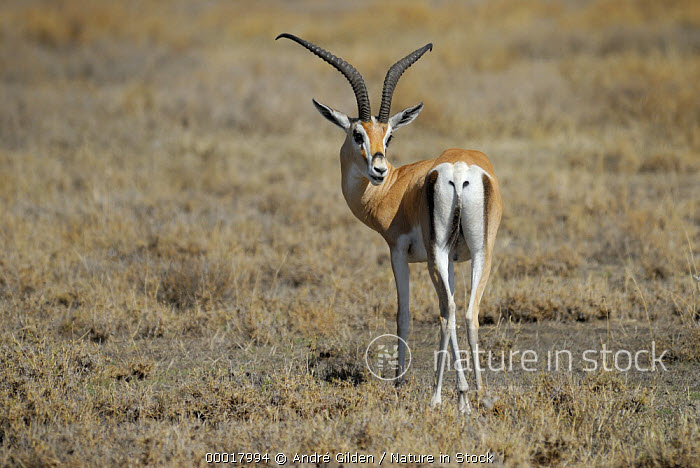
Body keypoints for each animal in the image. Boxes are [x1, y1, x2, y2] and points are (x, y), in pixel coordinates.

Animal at [277, 33, 502, 413]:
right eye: (358, 134)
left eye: (388, 136)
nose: (379, 169)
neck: (396, 187)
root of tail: (459, 168)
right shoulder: (452, 260)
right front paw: (461, 396)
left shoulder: (398, 251)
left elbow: (403, 313)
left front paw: (400, 382)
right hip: (478, 252)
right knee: (467, 311)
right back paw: (479, 395)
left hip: (438, 254)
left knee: (448, 312)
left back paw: (440, 398)